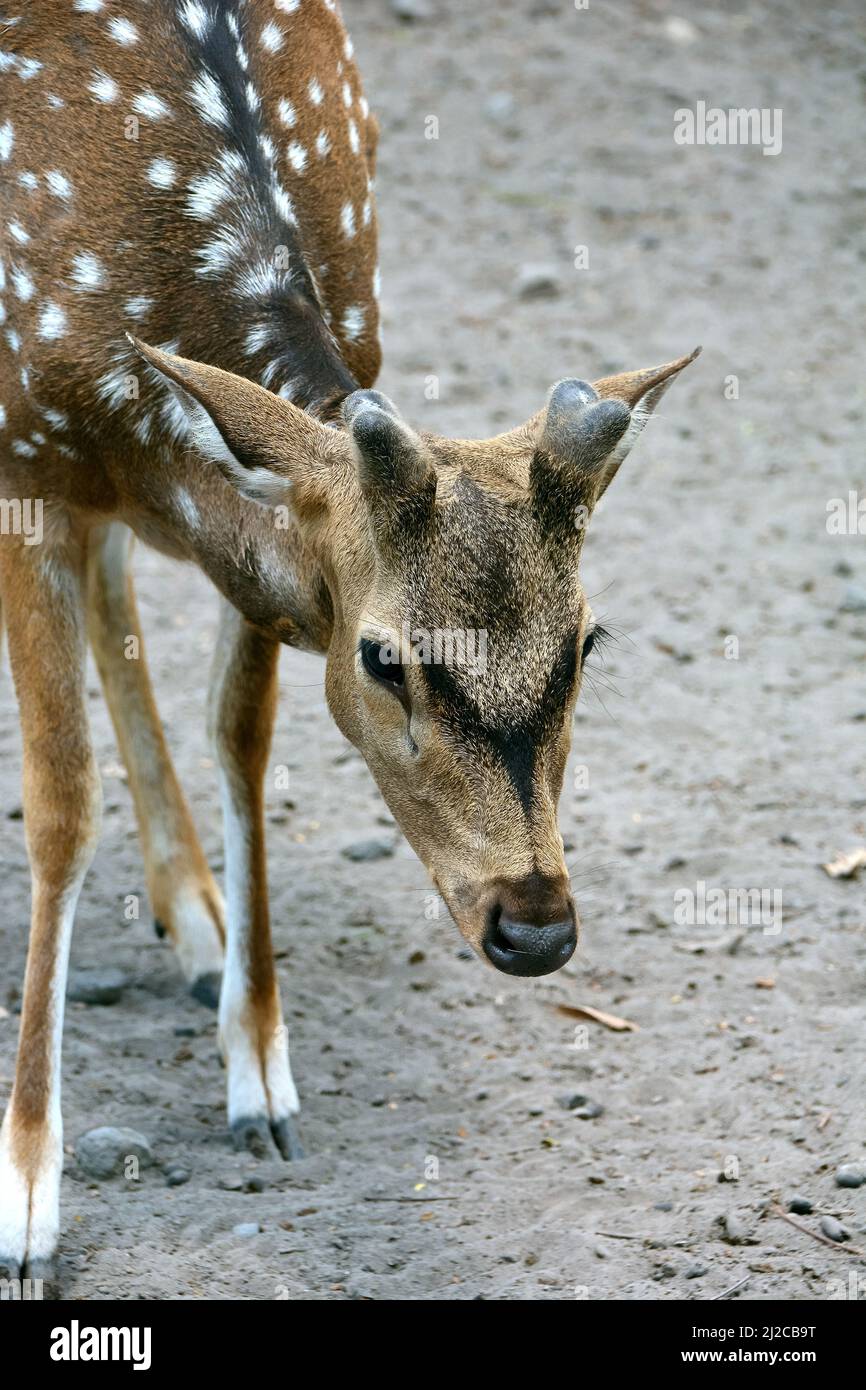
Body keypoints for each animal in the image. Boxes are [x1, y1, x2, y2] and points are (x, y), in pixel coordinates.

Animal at [0, 0, 698, 1287]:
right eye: (385, 659)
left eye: (587, 640)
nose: (533, 923)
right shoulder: (25, 464)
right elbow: (61, 806)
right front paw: (27, 1200)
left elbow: (241, 737)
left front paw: (260, 1076)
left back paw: (195, 919)